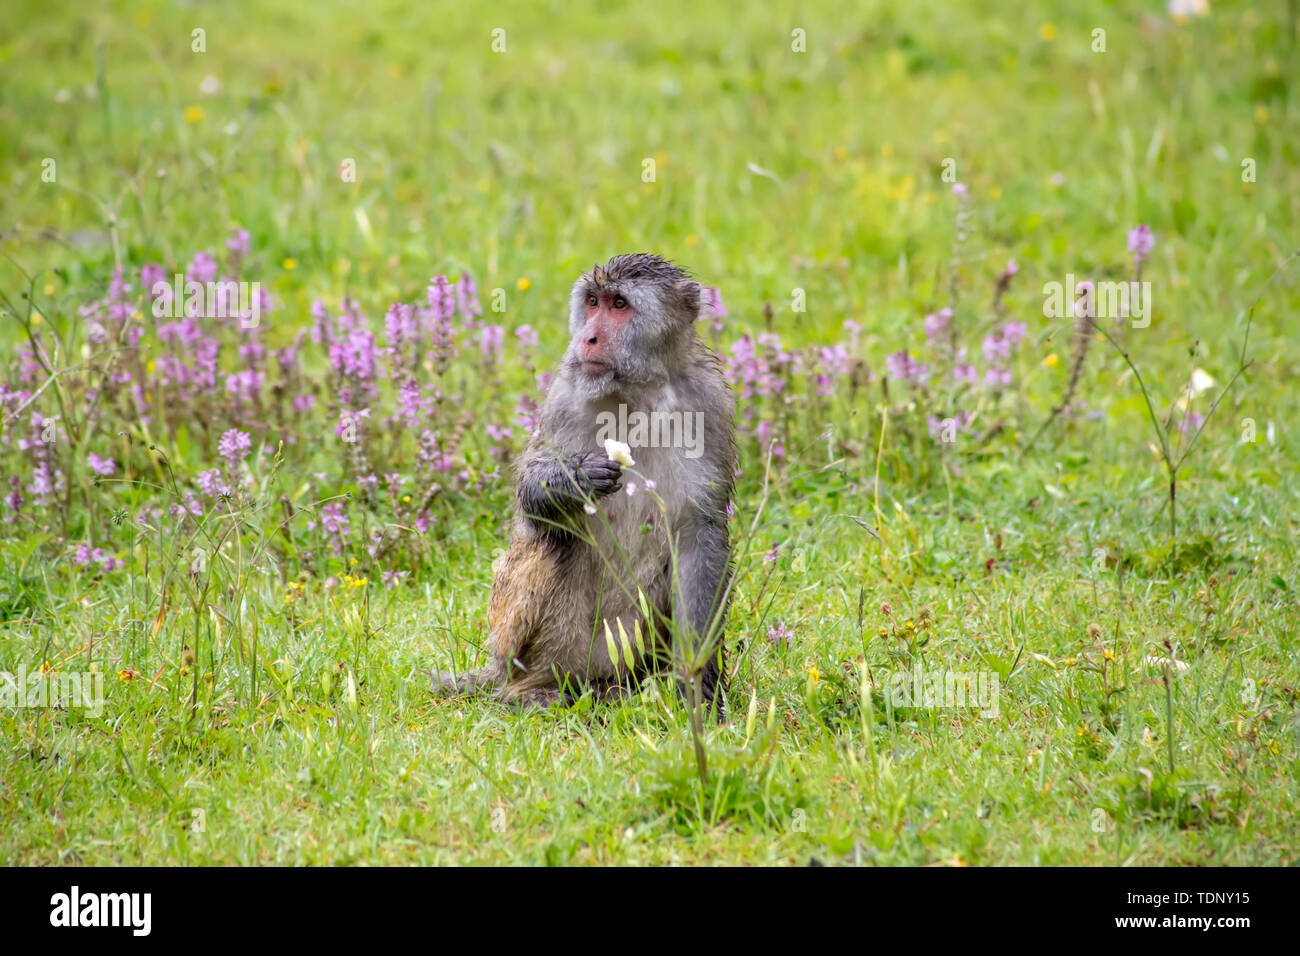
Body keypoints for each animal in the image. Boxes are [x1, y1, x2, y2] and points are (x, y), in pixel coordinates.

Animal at [433, 253, 736, 718]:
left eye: (619, 305)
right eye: (593, 302)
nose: (589, 338)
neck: (636, 393)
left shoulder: (709, 404)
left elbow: (698, 536)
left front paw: (699, 691)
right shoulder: (564, 395)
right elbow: (529, 496)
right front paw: (572, 478)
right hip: (512, 640)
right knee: (556, 539)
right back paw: (536, 690)